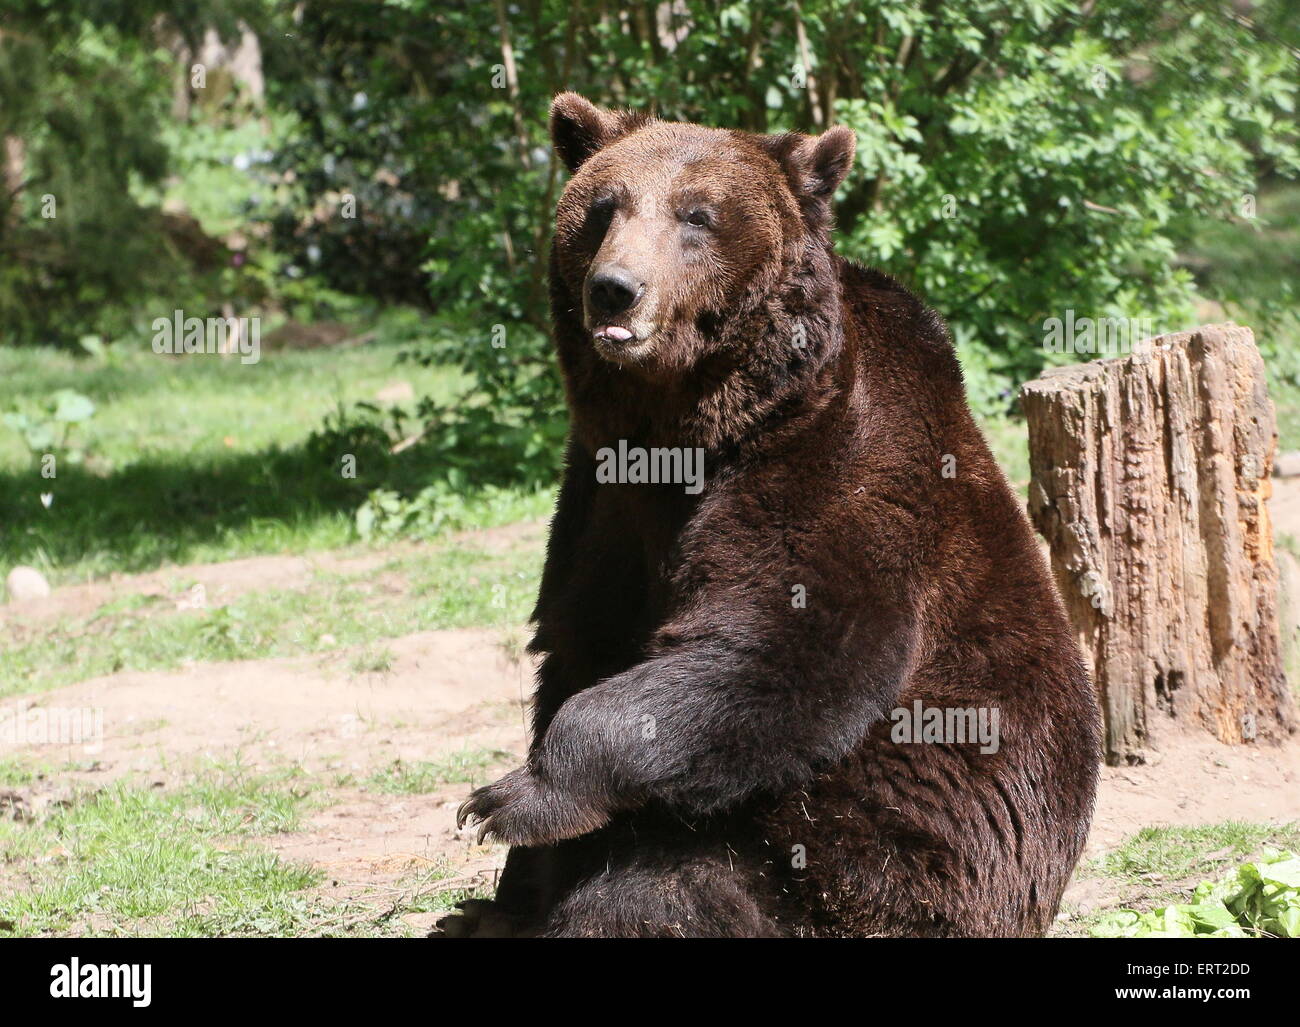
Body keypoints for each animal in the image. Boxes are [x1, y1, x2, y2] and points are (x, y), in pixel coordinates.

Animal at [441, 93, 1101, 938]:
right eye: (603, 206)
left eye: (697, 214)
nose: (616, 288)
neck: (692, 427)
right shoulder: (603, 496)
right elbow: (577, 635)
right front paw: (509, 879)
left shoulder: (837, 460)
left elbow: (779, 646)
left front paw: (508, 797)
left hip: (865, 864)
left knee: (668, 891)